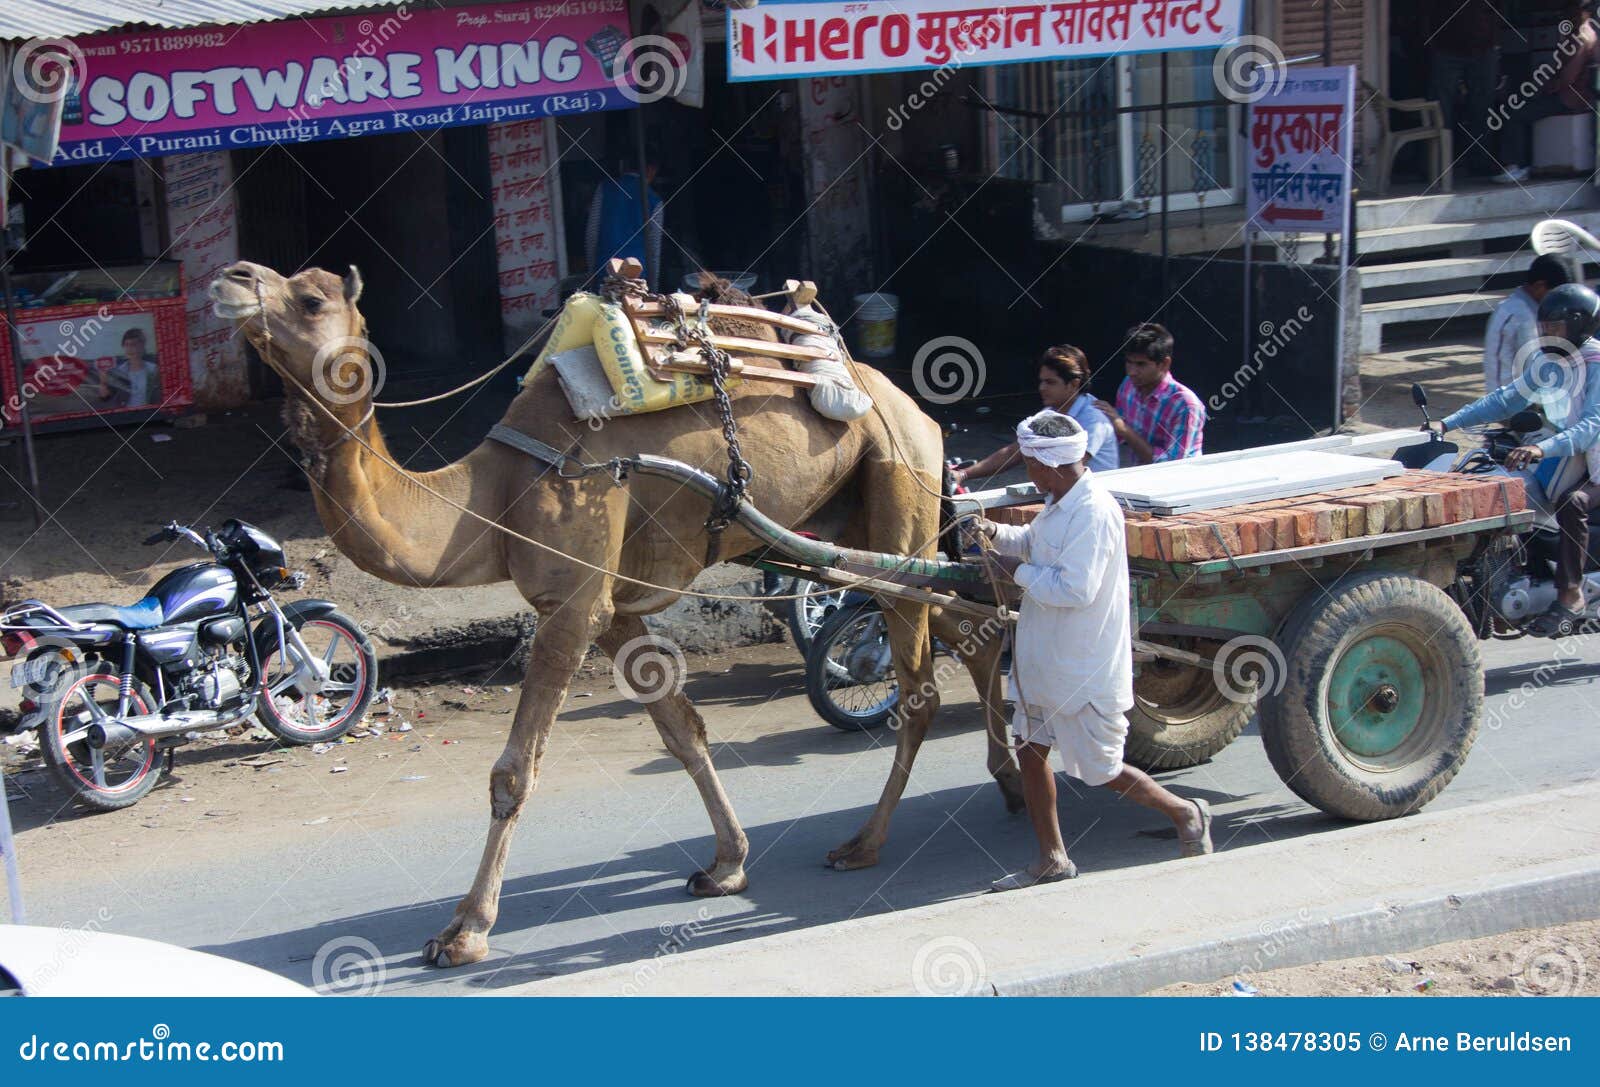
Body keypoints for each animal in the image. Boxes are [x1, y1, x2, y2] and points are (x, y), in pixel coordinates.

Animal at [209, 260, 1020, 967]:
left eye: (312, 299)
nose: (232, 277)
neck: (496, 493)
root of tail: (914, 408)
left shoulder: (572, 604)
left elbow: (514, 771)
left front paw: (465, 931)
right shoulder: (614, 607)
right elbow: (682, 729)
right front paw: (727, 865)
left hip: (897, 488)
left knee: (920, 686)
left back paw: (865, 843)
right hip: (856, 531)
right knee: (973, 625)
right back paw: (1010, 786)